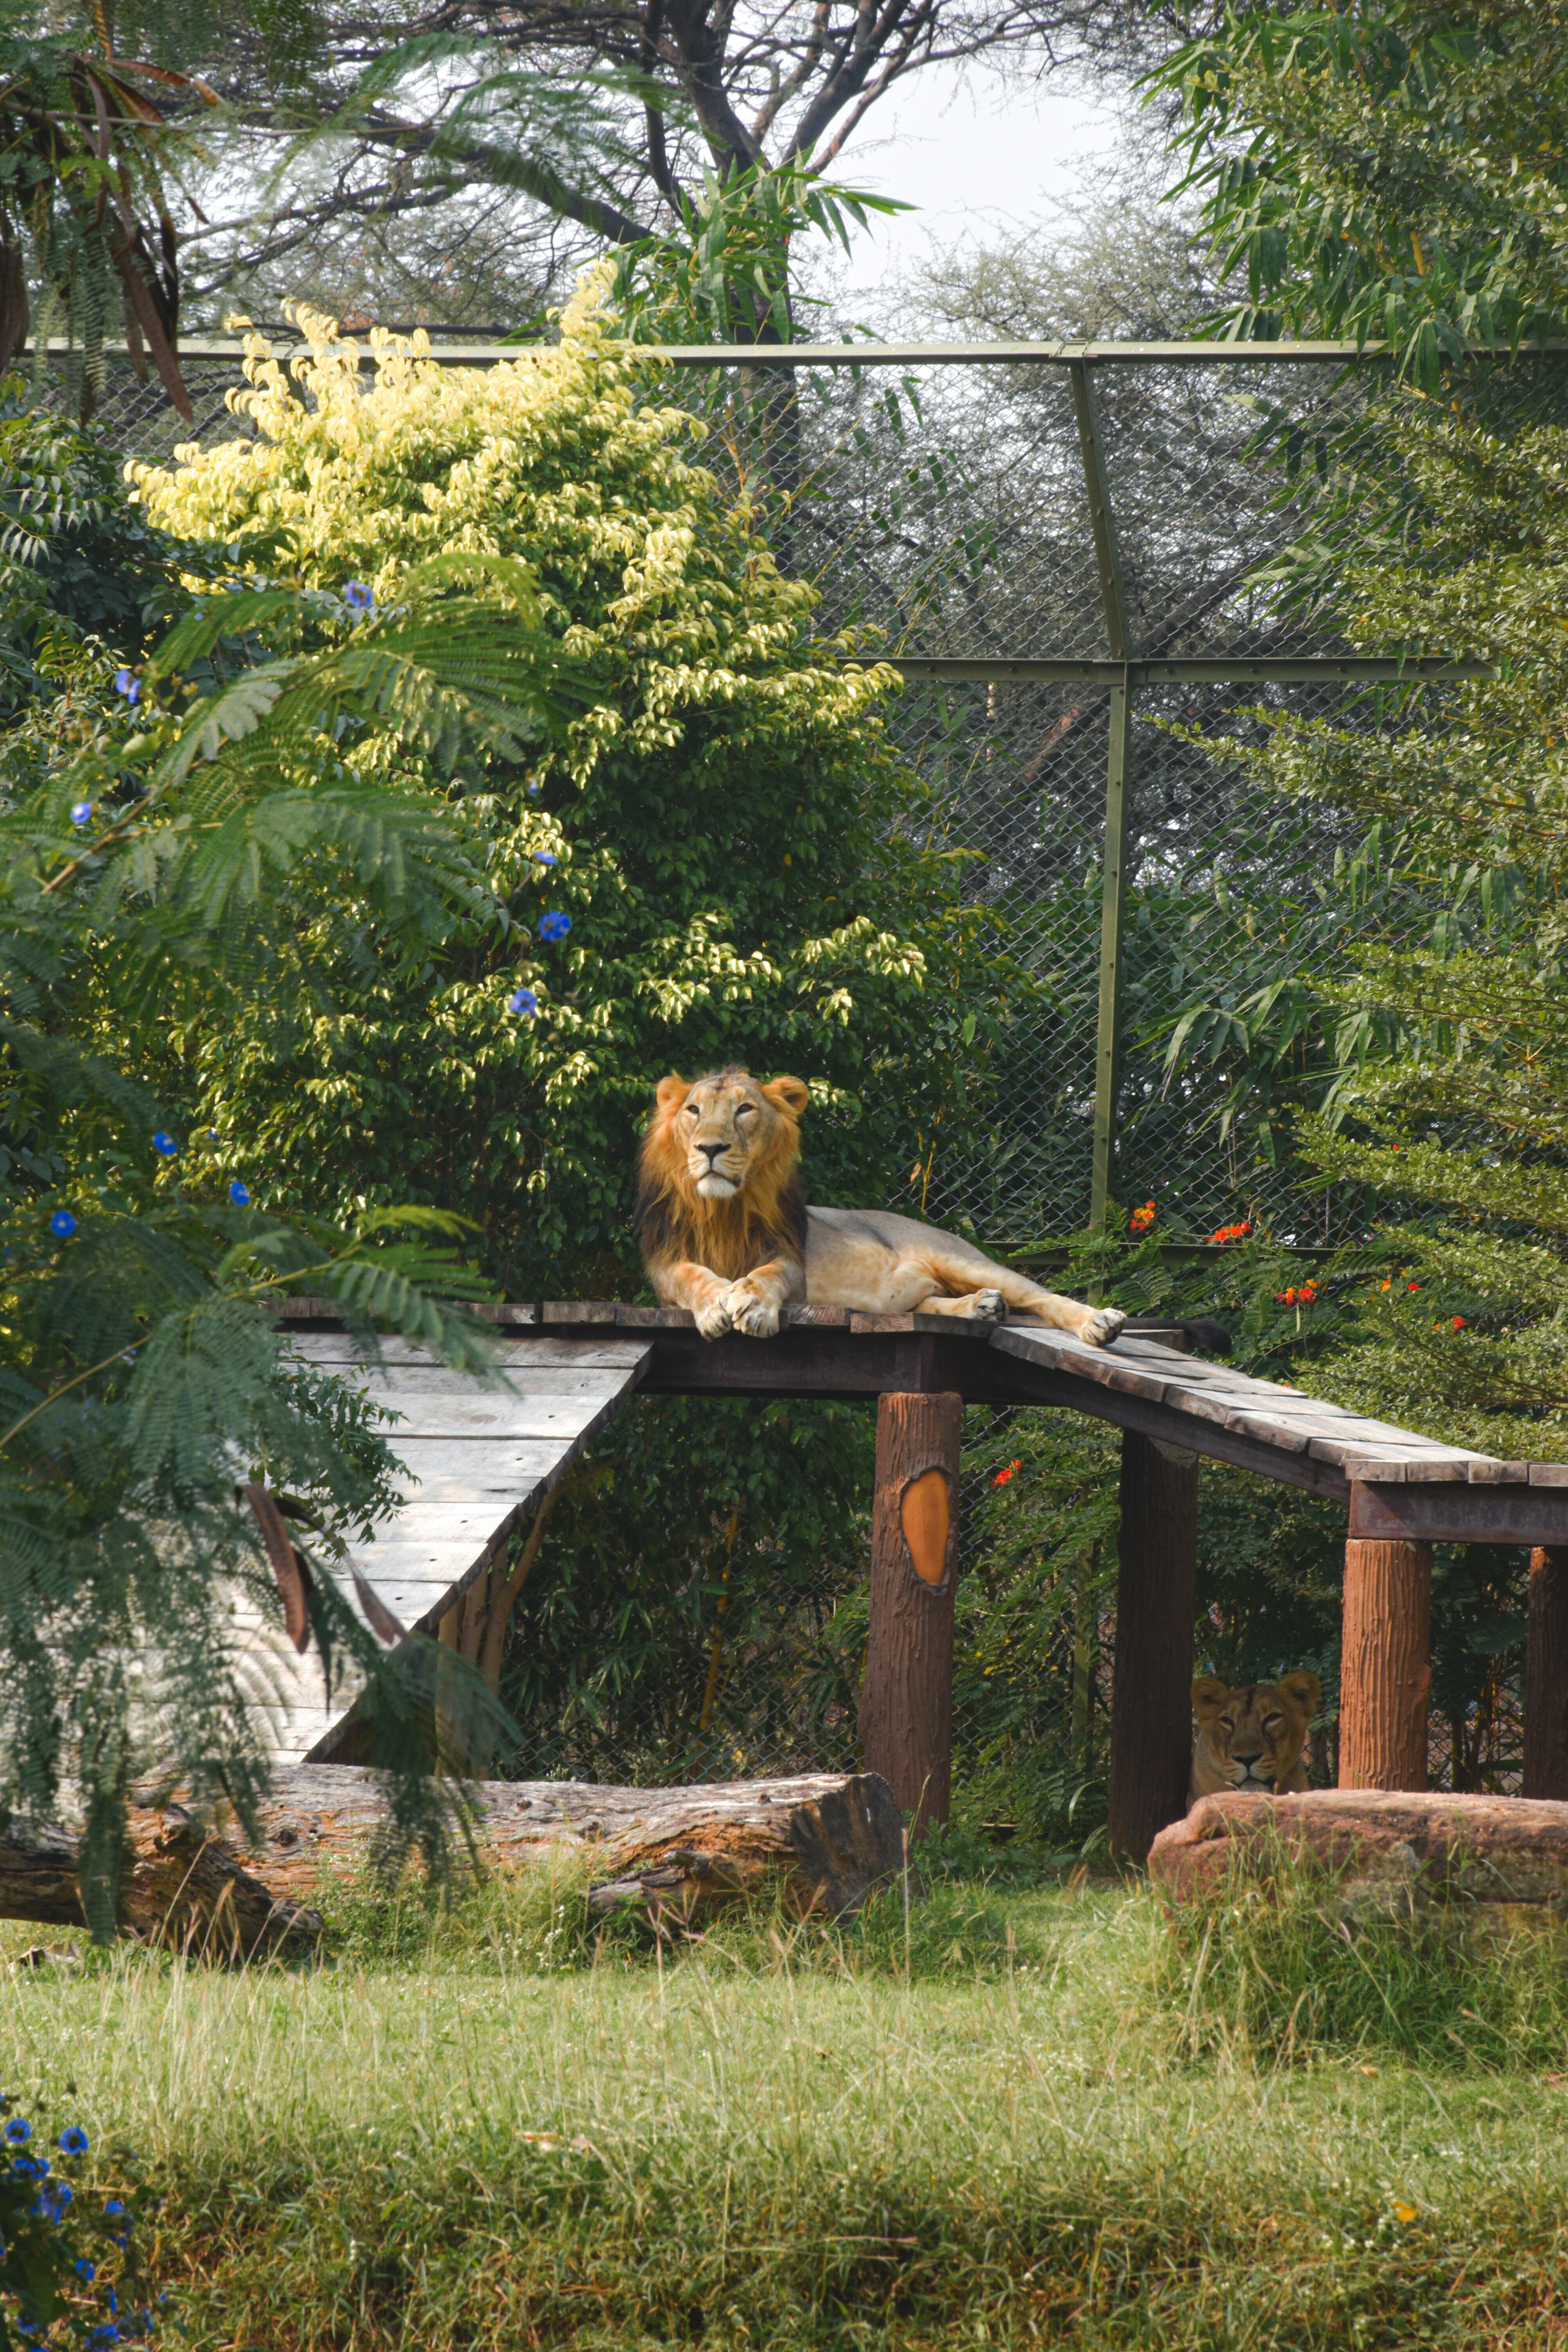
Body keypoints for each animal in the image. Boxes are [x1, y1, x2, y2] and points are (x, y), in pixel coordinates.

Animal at [635, 1066, 1127, 1347]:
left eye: (745, 1110)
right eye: (694, 1110)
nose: (710, 1148)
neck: (722, 1209)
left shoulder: (791, 1261)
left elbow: (766, 1276)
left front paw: (752, 1305)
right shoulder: (664, 1267)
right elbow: (694, 1278)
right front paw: (716, 1303)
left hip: (959, 1258)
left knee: (1041, 1296)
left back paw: (1100, 1322)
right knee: (931, 1303)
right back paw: (983, 1307)